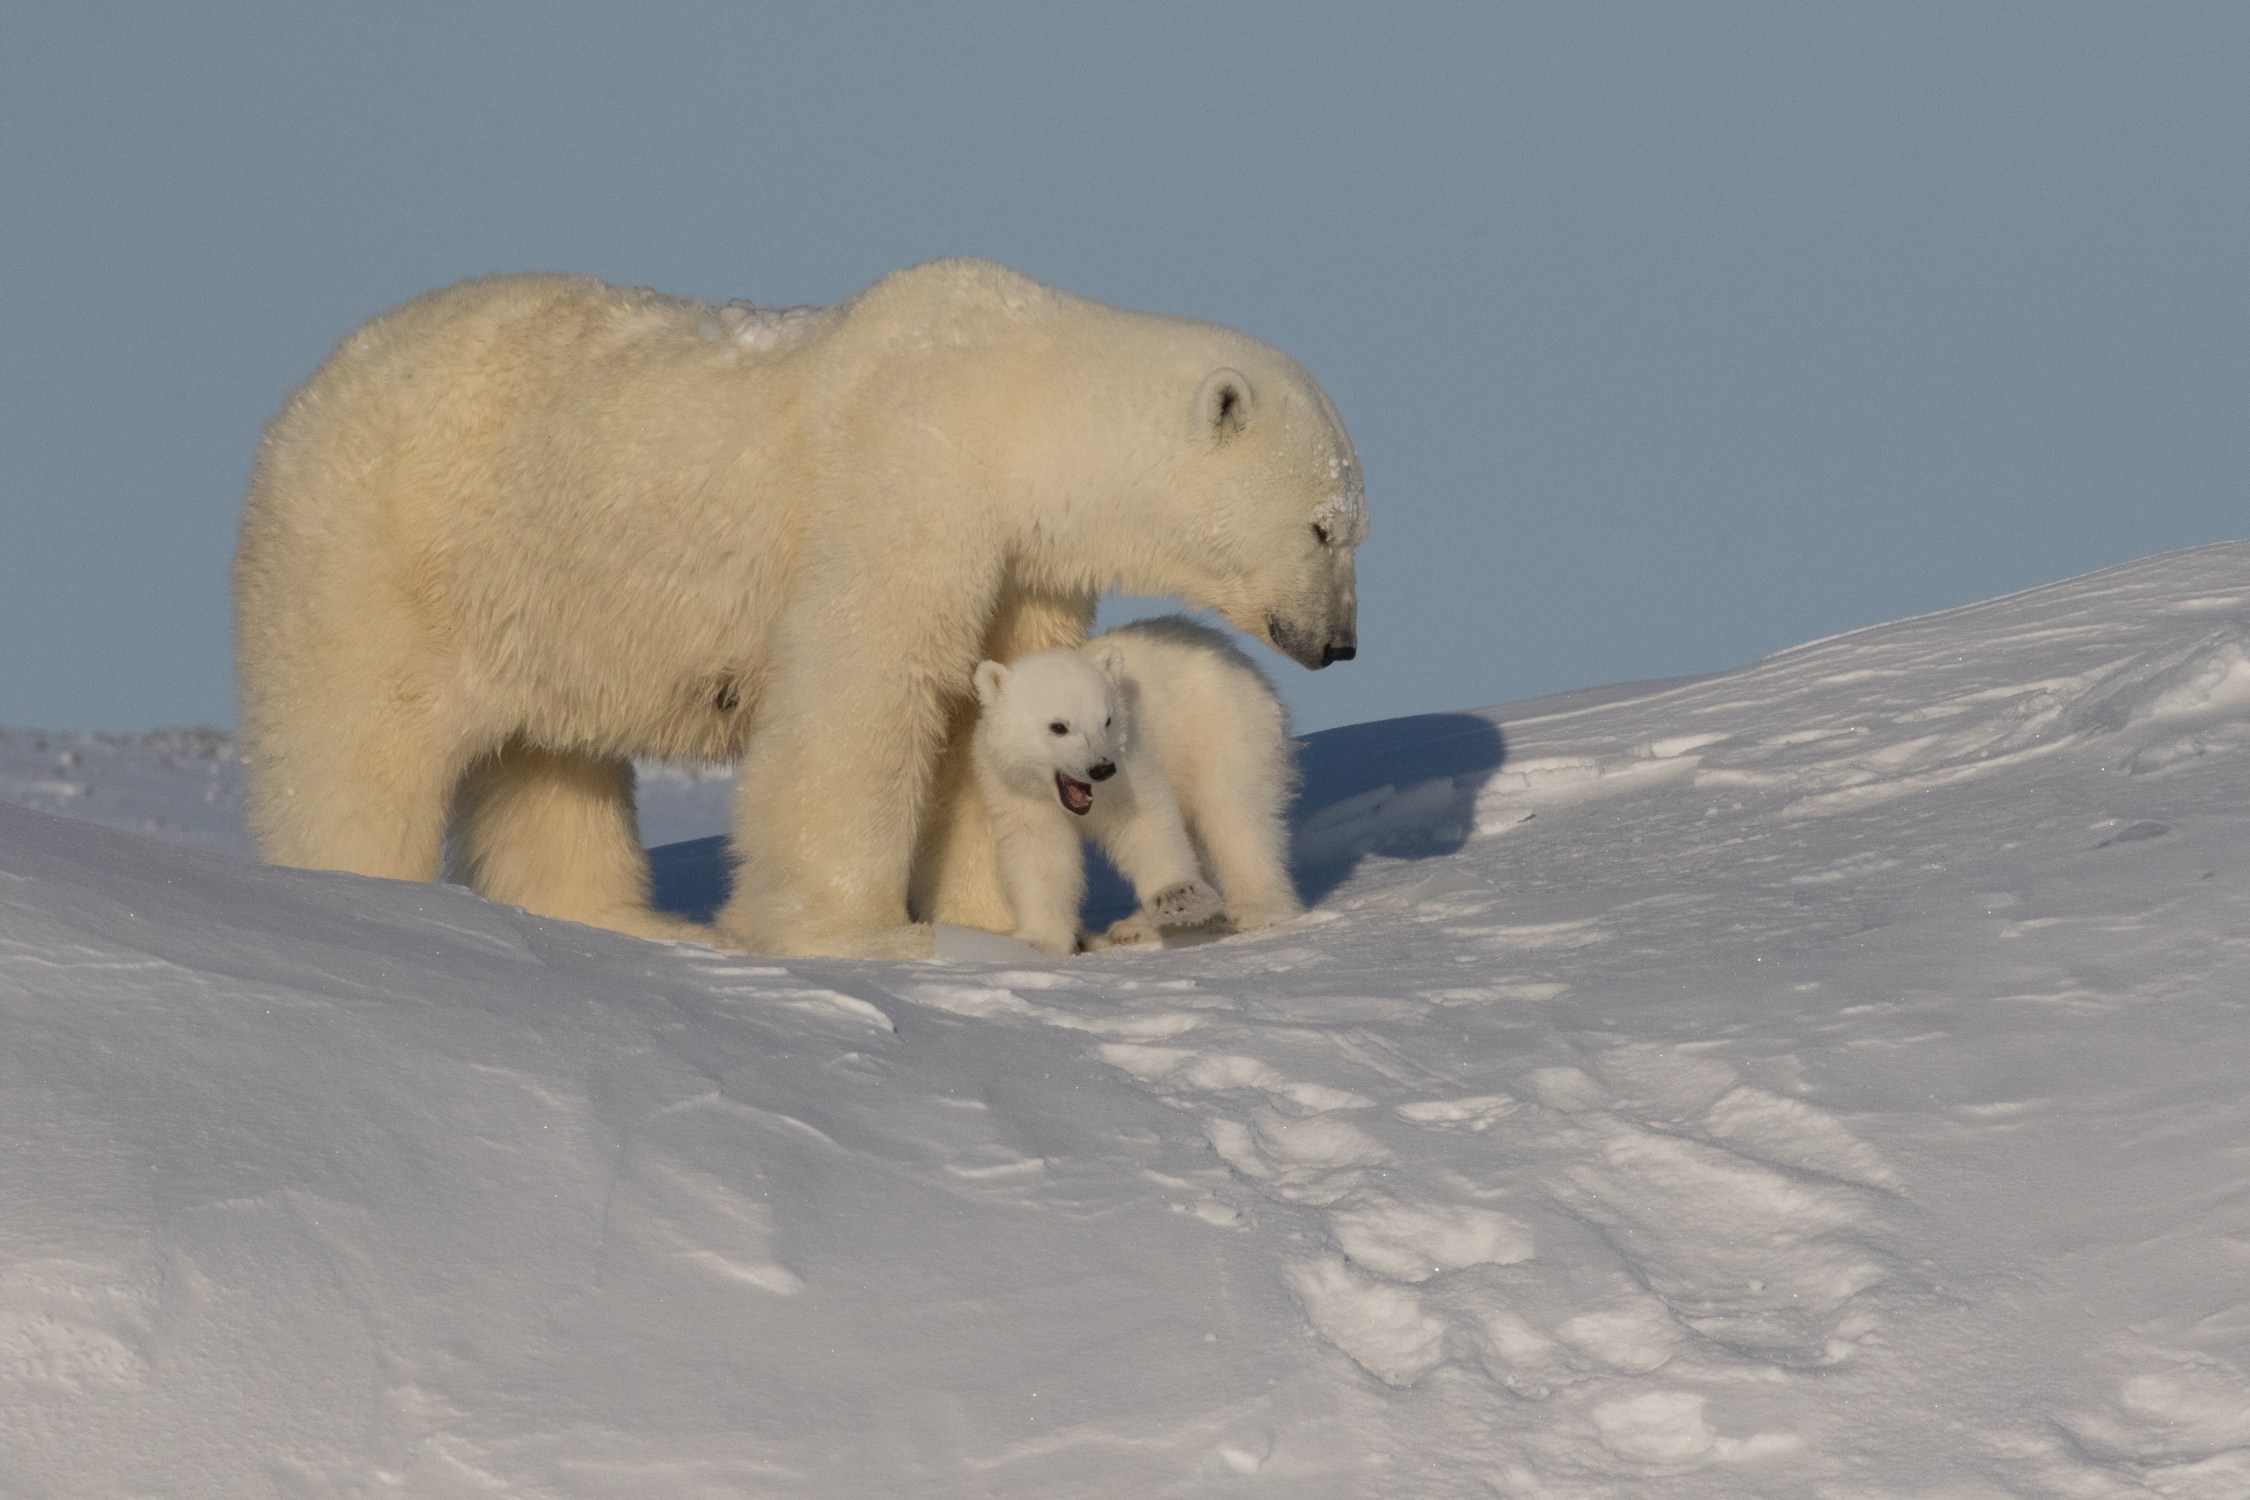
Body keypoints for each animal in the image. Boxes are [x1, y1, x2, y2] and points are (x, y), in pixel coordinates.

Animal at [970, 617, 1303, 957]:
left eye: (1107, 720)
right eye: (1058, 727)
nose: (1101, 768)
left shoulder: (1129, 762)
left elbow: (1145, 822)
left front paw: (1177, 897)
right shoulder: (1014, 788)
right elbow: (1039, 852)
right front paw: (1039, 941)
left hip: (1224, 729)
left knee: (1236, 814)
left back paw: (1254, 909)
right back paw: (1136, 927)